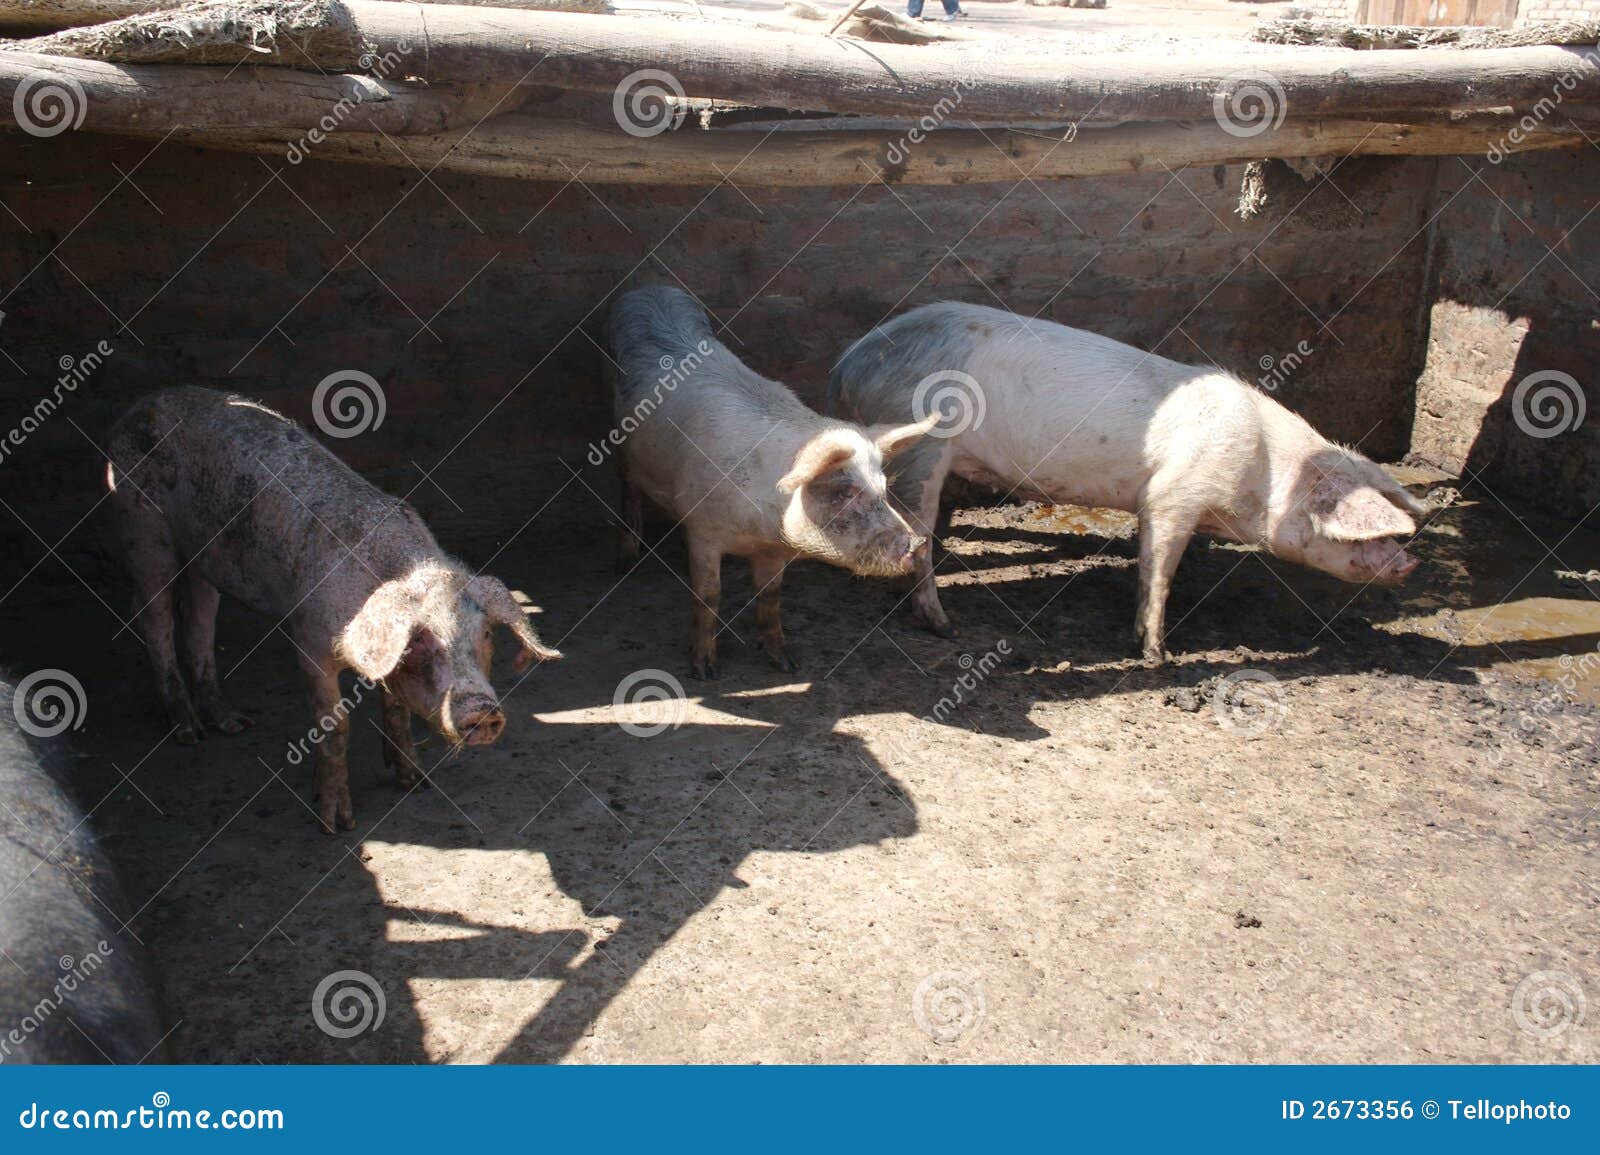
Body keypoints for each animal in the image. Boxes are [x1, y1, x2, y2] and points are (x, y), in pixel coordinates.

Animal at [103, 387, 561, 832]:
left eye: (485, 634)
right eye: (419, 644)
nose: (481, 710)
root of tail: (138, 405)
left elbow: (396, 711)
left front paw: (416, 783)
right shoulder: (309, 642)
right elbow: (335, 728)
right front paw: (335, 824)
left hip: (203, 560)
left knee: (199, 622)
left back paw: (232, 723)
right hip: (142, 531)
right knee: (156, 620)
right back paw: (188, 732)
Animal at [604, 286, 936, 678]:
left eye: (885, 489)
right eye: (844, 491)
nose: (918, 543)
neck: (760, 530)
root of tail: (649, 288)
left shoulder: (773, 552)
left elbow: (771, 597)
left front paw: (786, 663)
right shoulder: (702, 531)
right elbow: (708, 595)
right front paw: (705, 670)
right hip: (621, 448)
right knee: (628, 493)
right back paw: (626, 563)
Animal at [828, 302, 1426, 660]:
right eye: (1369, 530)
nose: (1410, 561)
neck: (1260, 479)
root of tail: (850, 360)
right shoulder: (1171, 495)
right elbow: (1157, 569)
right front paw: (1157, 655)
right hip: (923, 446)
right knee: (918, 533)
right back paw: (943, 625)